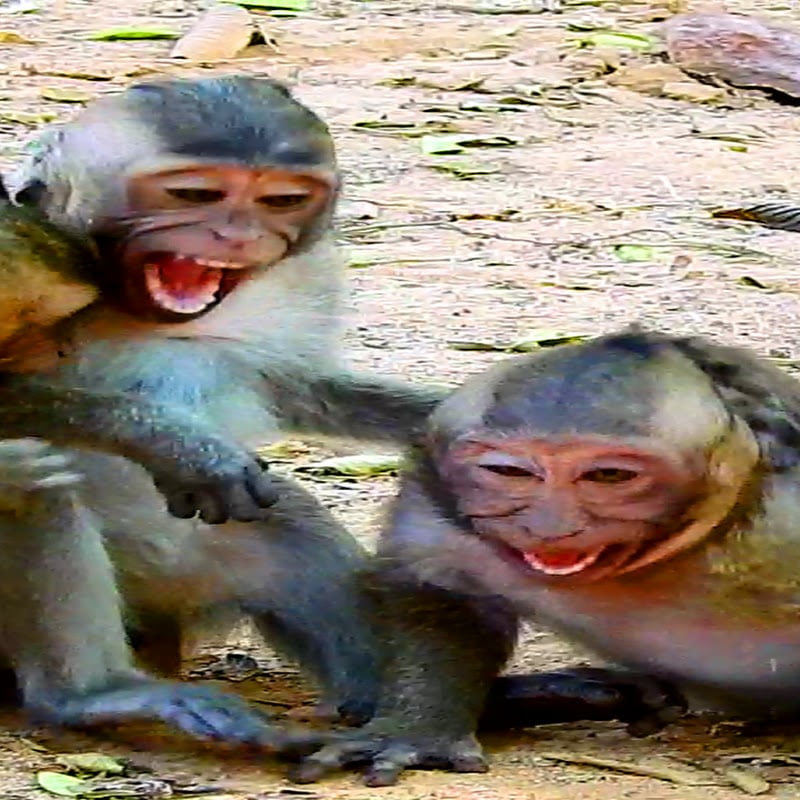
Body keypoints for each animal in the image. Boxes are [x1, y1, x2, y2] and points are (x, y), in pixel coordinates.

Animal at [1, 75, 446, 746]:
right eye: (195, 194)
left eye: (282, 199)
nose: (236, 234)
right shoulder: (20, 256)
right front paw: (175, 442)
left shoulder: (307, 275)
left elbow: (299, 388)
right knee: (39, 481)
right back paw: (91, 694)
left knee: (287, 516)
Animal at [285, 327, 800, 786]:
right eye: (510, 472)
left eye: (609, 475)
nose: (551, 526)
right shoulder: (435, 487)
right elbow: (440, 587)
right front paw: (417, 730)